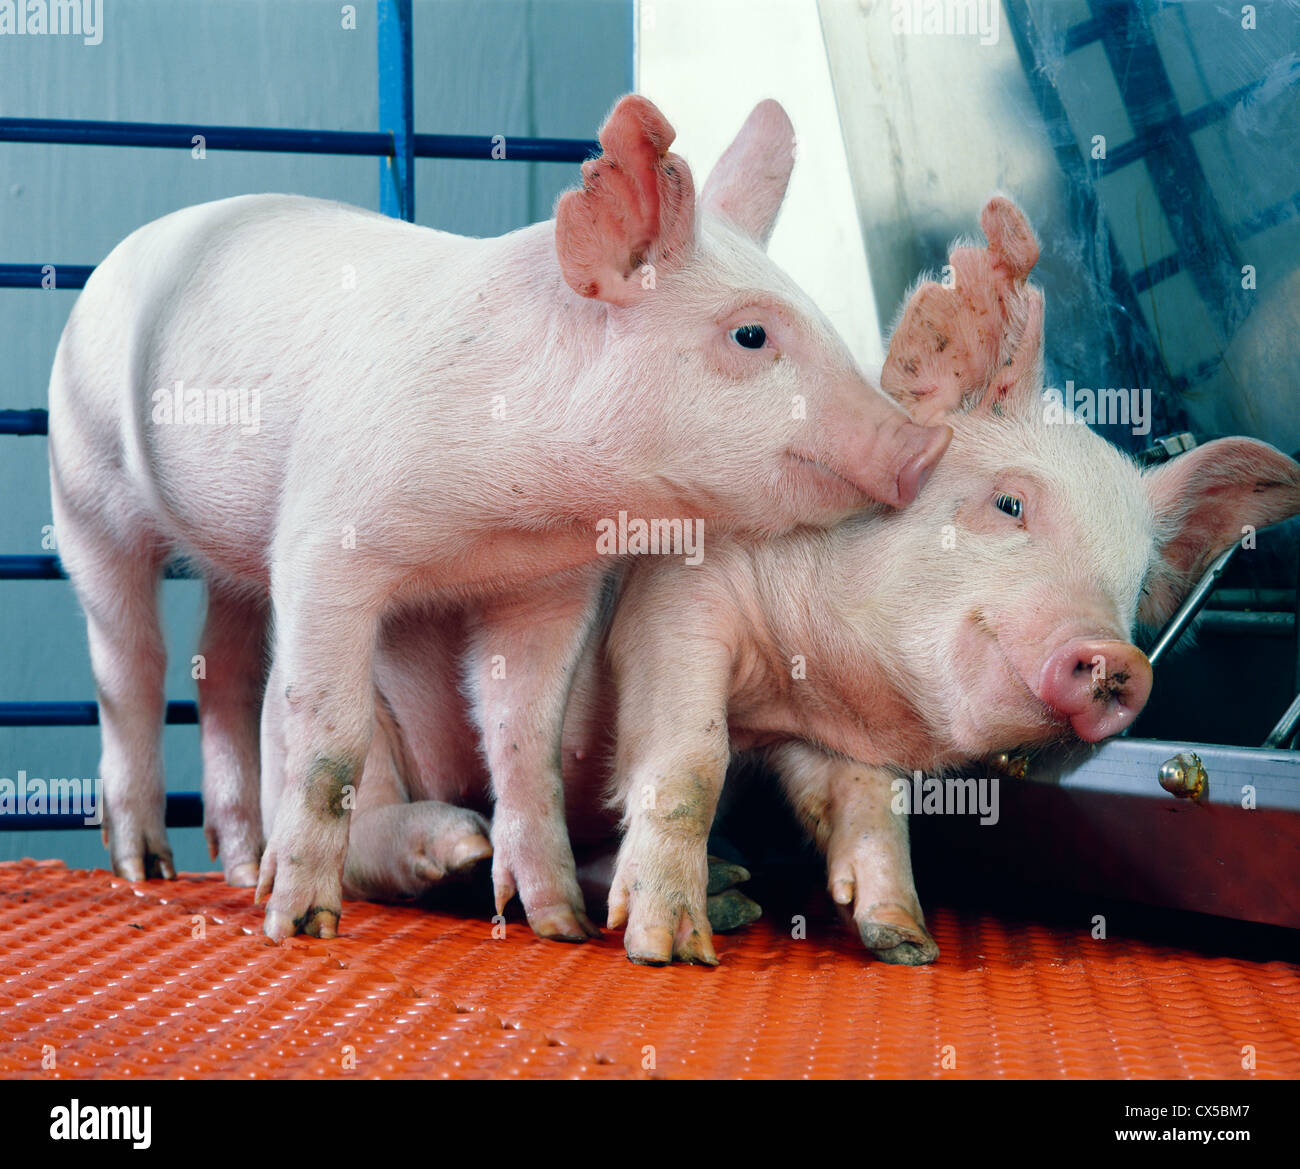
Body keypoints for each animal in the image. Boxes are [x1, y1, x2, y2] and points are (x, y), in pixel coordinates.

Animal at [47, 96, 950, 943]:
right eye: (751, 334)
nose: (924, 443)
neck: (504, 519)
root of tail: (138, 244)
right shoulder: (324, 543)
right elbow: (327, 742)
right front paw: (300, 924)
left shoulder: (547, 585)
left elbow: (527, 739)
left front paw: (560, 925)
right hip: (84, 484)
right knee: (130, 663)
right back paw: (165, 865)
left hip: (228, 558)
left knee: (223, 669)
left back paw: (244, 864)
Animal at [289, 196, 1300, 965]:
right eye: (1009, 502)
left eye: (1136, 584)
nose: (1119, 658)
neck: (804, 672)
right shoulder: (675, 606)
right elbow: (685, 758)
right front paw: (666, 946)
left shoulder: (830, 733)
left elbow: (872, 811)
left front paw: (907, 943)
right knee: (357, 821)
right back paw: (457, 854)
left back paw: (733, 890)